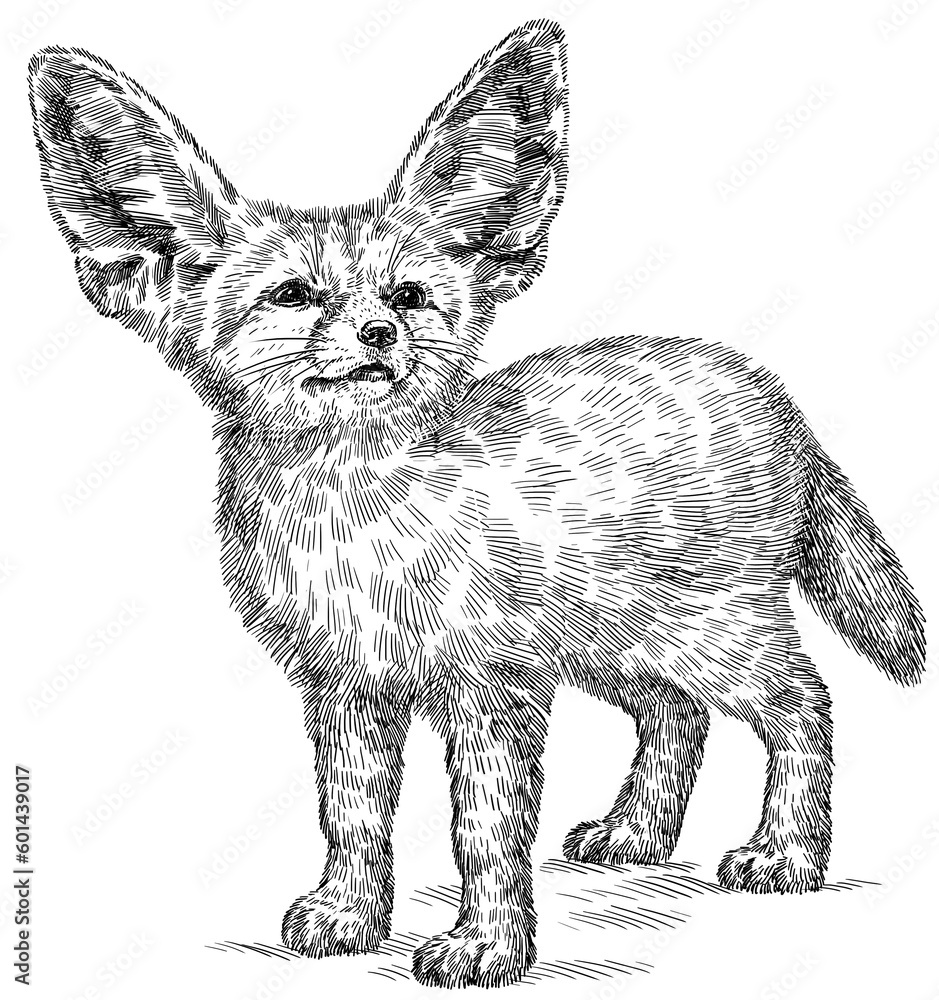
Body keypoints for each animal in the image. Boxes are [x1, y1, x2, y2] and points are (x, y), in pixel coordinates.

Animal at [29, 18, 925, 990]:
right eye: (293, 295)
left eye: (408, 295)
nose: (380, 333)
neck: (355, 525)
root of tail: (775, 398)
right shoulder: (346, 688)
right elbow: (351, 818)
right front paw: (350, 916)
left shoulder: (494, 690)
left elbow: (484, 831)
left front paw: (487, 945)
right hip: (617, 645)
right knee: (675, 715)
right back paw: (635, 834)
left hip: (714, 634)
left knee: (802, 703)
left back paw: (786, 853)